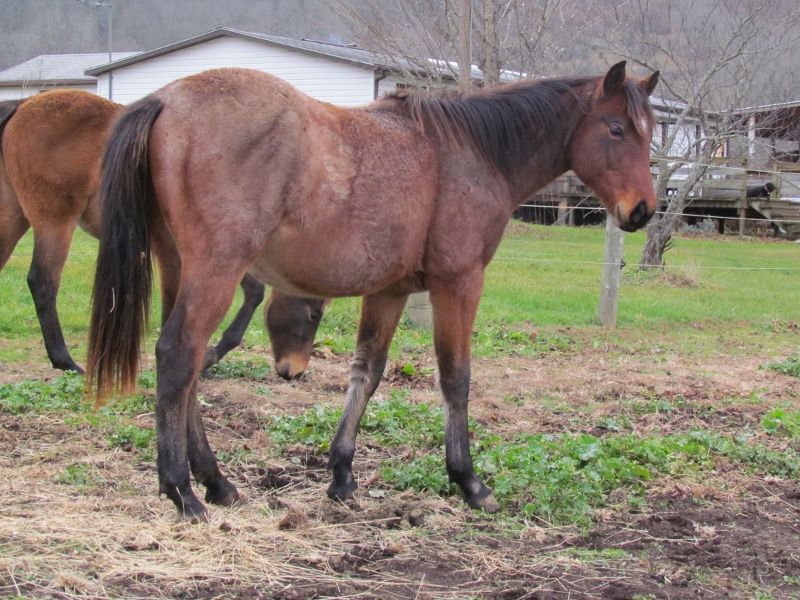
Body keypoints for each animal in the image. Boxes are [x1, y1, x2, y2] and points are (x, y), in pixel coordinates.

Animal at [0, 90, 324, 377]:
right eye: (314, 314)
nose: (295, 372)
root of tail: (22, 105)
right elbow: (254, 293)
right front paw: (208, 357)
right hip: (55, 222)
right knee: (42, 283)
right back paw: (65, 361)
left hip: (15, 217)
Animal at [87, 62, 659, 520]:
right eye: (616, 128)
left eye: (651, 133)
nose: (643, 211)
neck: (471, 152)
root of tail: (166, 98)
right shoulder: (459, 283)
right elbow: (455, 379)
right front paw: (468, 480)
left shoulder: (389, 291)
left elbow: (367, 372)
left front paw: (341, 474)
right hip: (216, 272)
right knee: (177, 356)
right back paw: (182, 491)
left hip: (179, 268)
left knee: (187, 371)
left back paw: (216, 481)